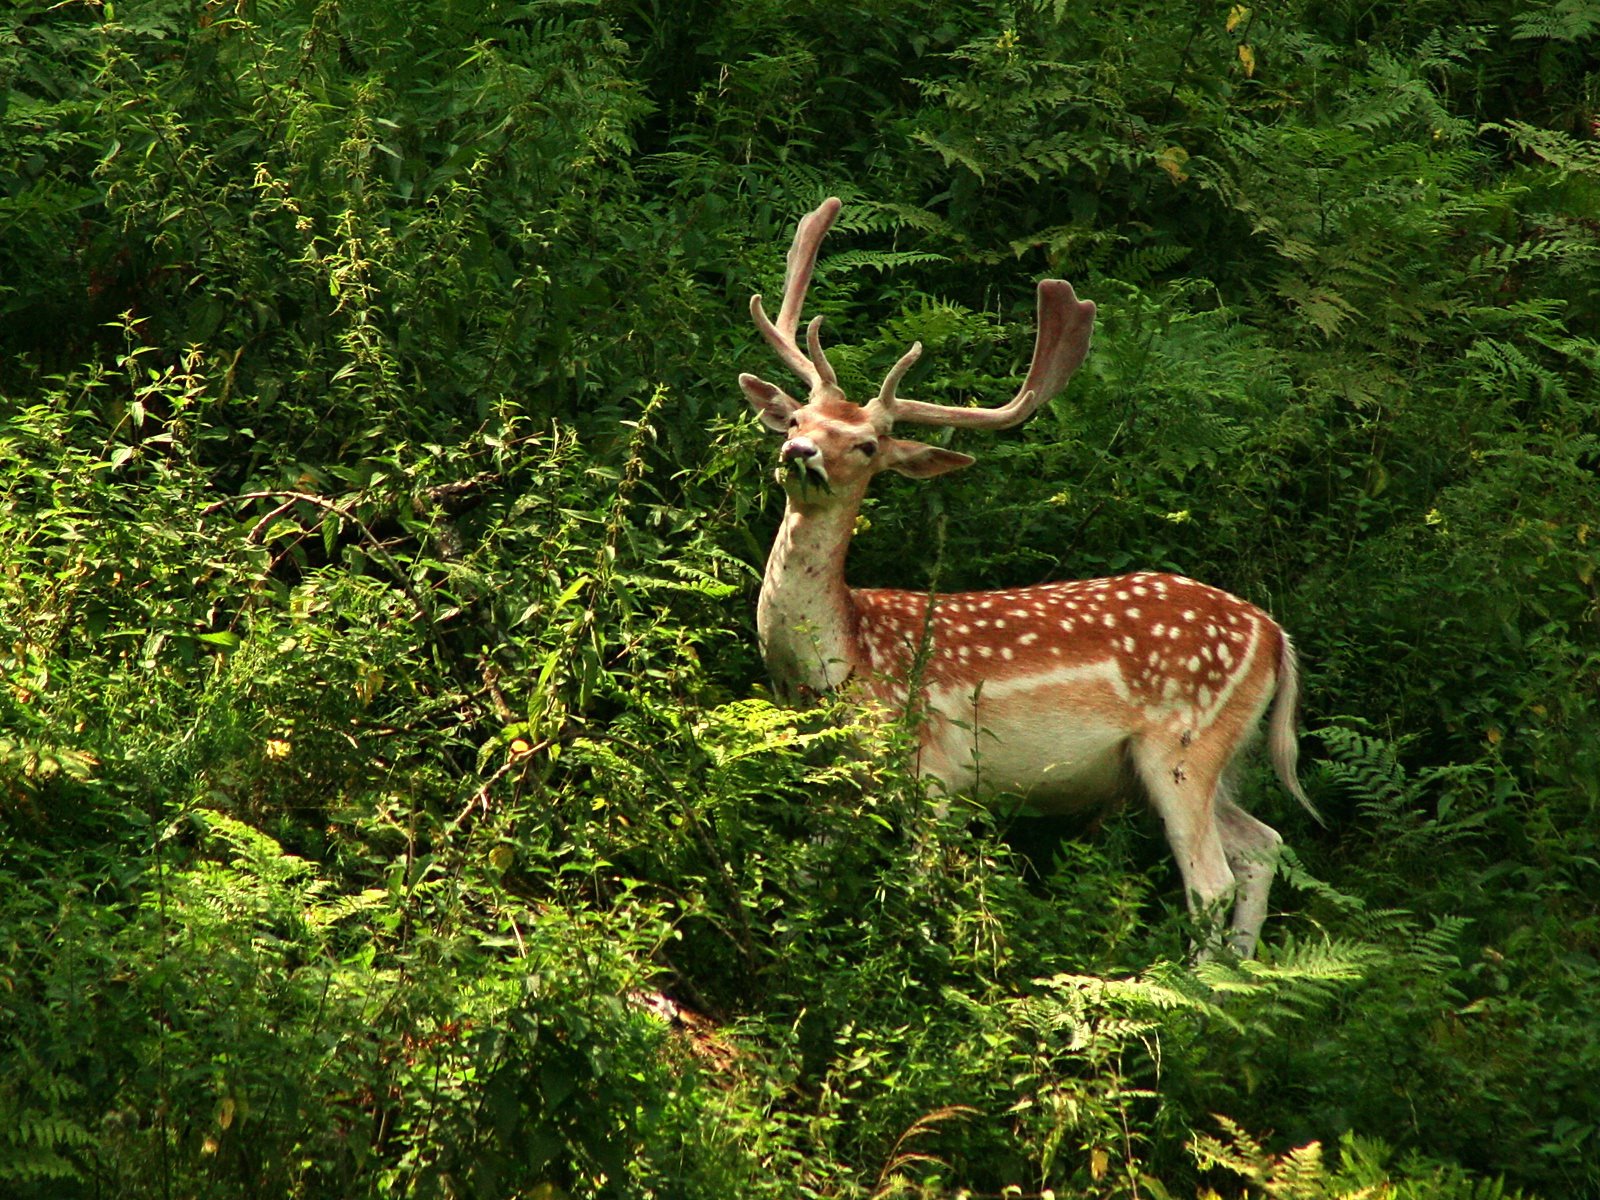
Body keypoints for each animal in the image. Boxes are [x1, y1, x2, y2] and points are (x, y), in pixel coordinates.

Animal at [738, 197, 1321, 959]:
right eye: (799, 418)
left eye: (867, 445)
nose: (800, 452)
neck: (843, 662)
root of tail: (1275, 635)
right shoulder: (842, 779)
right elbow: (805, 872)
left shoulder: (930, 768)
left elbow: (917, 886)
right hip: (1223, 755)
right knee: (1263, 844)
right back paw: (1239, 976)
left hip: (1184, 742)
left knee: (1213, 878)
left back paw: (1189, 979)